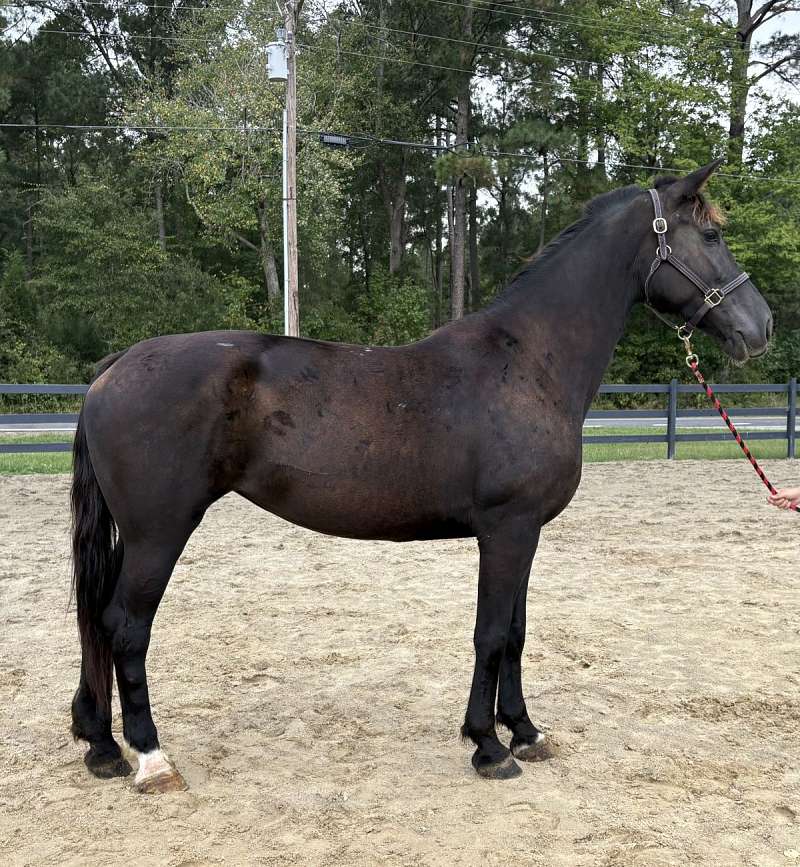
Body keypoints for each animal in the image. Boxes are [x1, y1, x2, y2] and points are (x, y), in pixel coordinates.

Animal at [70, 159, 772, 793]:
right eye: (711, 235)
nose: (760, 326)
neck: (529, 360)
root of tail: (113, 369)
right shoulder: (506, 530)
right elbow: (491, 634)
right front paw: (489, 746)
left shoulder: (525, 534)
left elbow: (516, 632)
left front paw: (525, 731)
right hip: (159, 534)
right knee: (125, 627)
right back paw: (150, 758)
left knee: (98, 623)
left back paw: (100, 745)